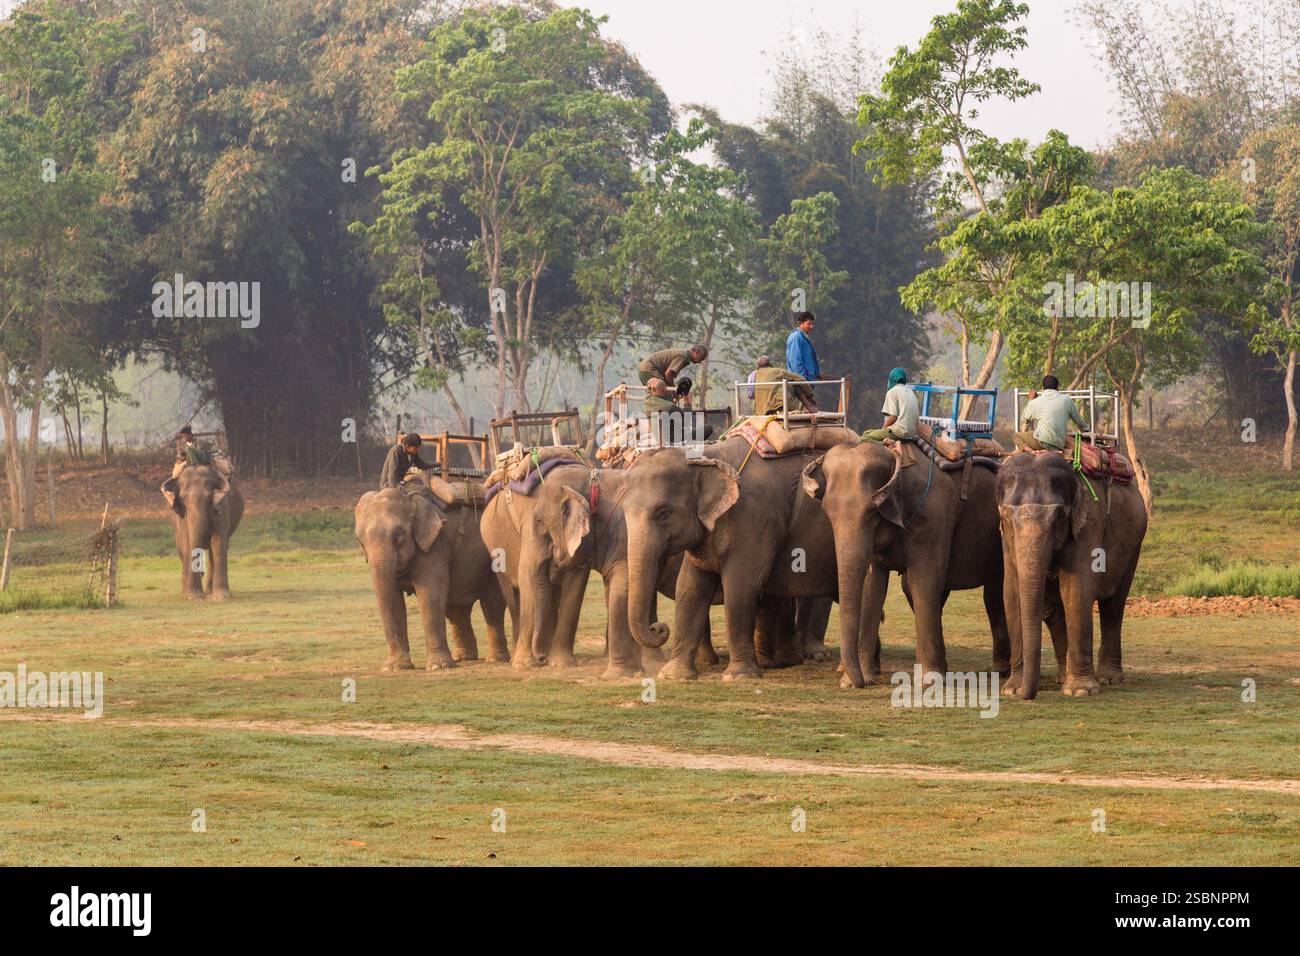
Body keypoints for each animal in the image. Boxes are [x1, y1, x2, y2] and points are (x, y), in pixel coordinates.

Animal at [162, 464, 244, 601]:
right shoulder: (180, 516)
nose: (201, 572)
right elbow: (187, 542)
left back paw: (209, 592)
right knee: (181, 550)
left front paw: (222, 597)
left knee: (214, 551)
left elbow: (218, 542)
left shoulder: (221, 506)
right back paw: (185, 593)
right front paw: (193, 596)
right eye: (183, 500)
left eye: (209, 498)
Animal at [354, 484, 509, 671]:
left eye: (399, 533)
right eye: (360, 539)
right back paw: (463, 658)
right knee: (457, 608)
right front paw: (396, 667)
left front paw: (439, 666)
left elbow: (430, 596)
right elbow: (394, 600)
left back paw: (495, 659)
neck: (409, 497)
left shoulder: (436, 545)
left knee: (491, 605)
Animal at [620, 440, 839, 681]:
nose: (658, 627)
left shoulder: (753, 517)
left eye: (664, 513)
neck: (708, 458)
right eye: (625, 510)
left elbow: (741, 585)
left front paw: (738, 676)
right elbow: (689, 587)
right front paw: (673, 675)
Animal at [802, 441, 1011, 689]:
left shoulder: (932, 517)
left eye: (872, 512)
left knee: (994, 593)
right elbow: (873, 586)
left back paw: (1000, 671)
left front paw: (930, 681)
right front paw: (857, 680)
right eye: (828, 513)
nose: (857, 682)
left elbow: (924, 580)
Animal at [995, 451, 1146, 699]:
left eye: (1059, 517)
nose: (1028, 694)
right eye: (1006, 518)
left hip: (1134, 544)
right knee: (1055, 611)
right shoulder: (1005, 541)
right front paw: (1012, 690)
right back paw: (1062, 677)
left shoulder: (1089, 523)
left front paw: (1081, 691)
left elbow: (1077, 591)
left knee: (1113, 605)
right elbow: (1011, 594)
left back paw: (1109, 679)